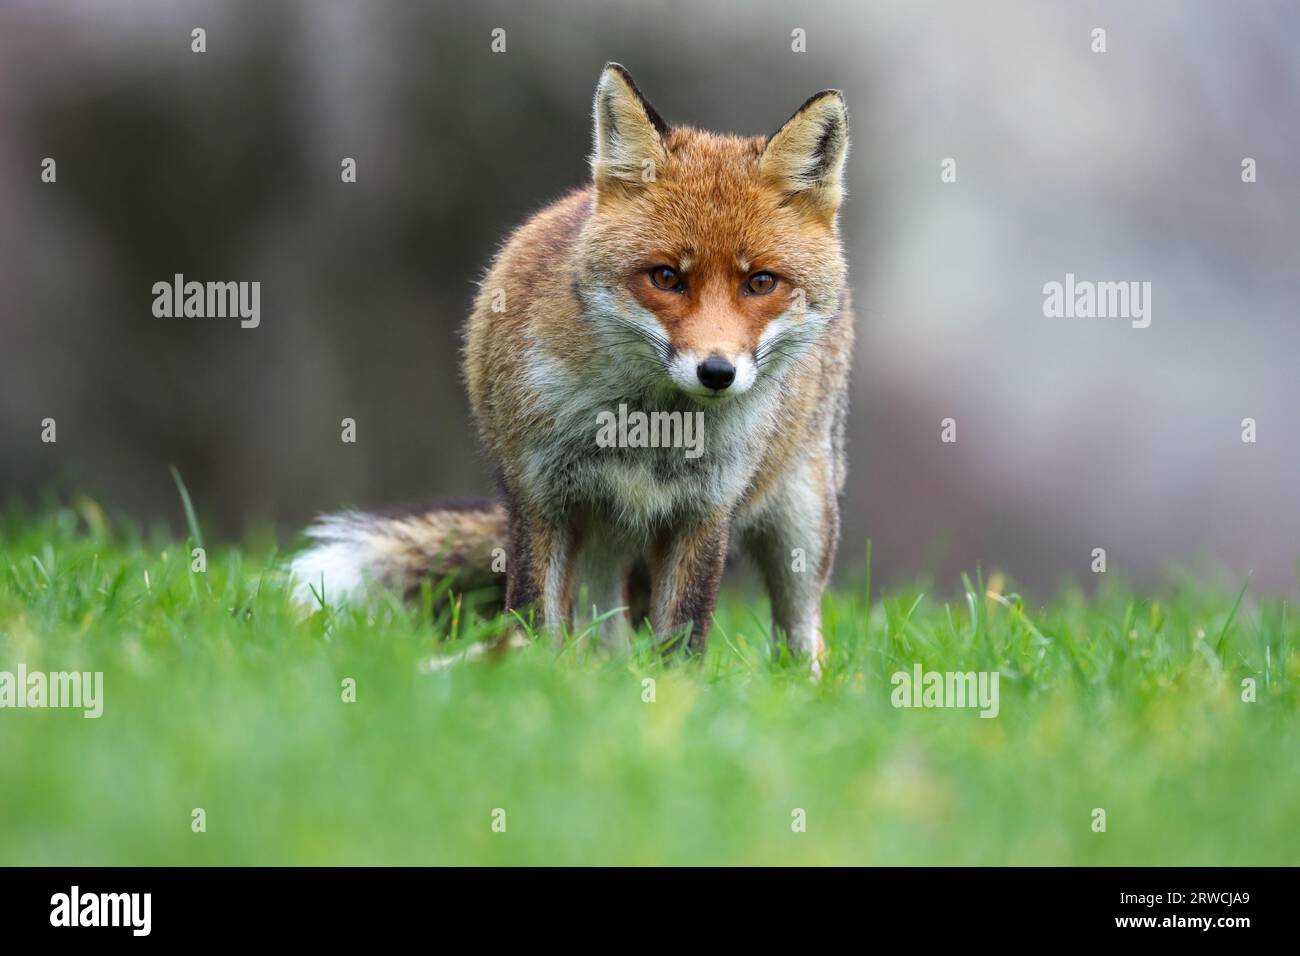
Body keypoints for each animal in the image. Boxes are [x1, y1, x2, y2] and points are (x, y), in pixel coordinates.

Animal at [292, 63, 853, 674]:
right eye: (665, 277)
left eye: (760, 282)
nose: (717, 372)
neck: (649, 434)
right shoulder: (541, 497)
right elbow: (532, 617)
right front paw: (527, 674)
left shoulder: (705, 513)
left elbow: (682, 637)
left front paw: (677, 690)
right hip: (607, 531)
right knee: (602, 621)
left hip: (804, 521)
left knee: (803, 627)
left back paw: (806, 683)